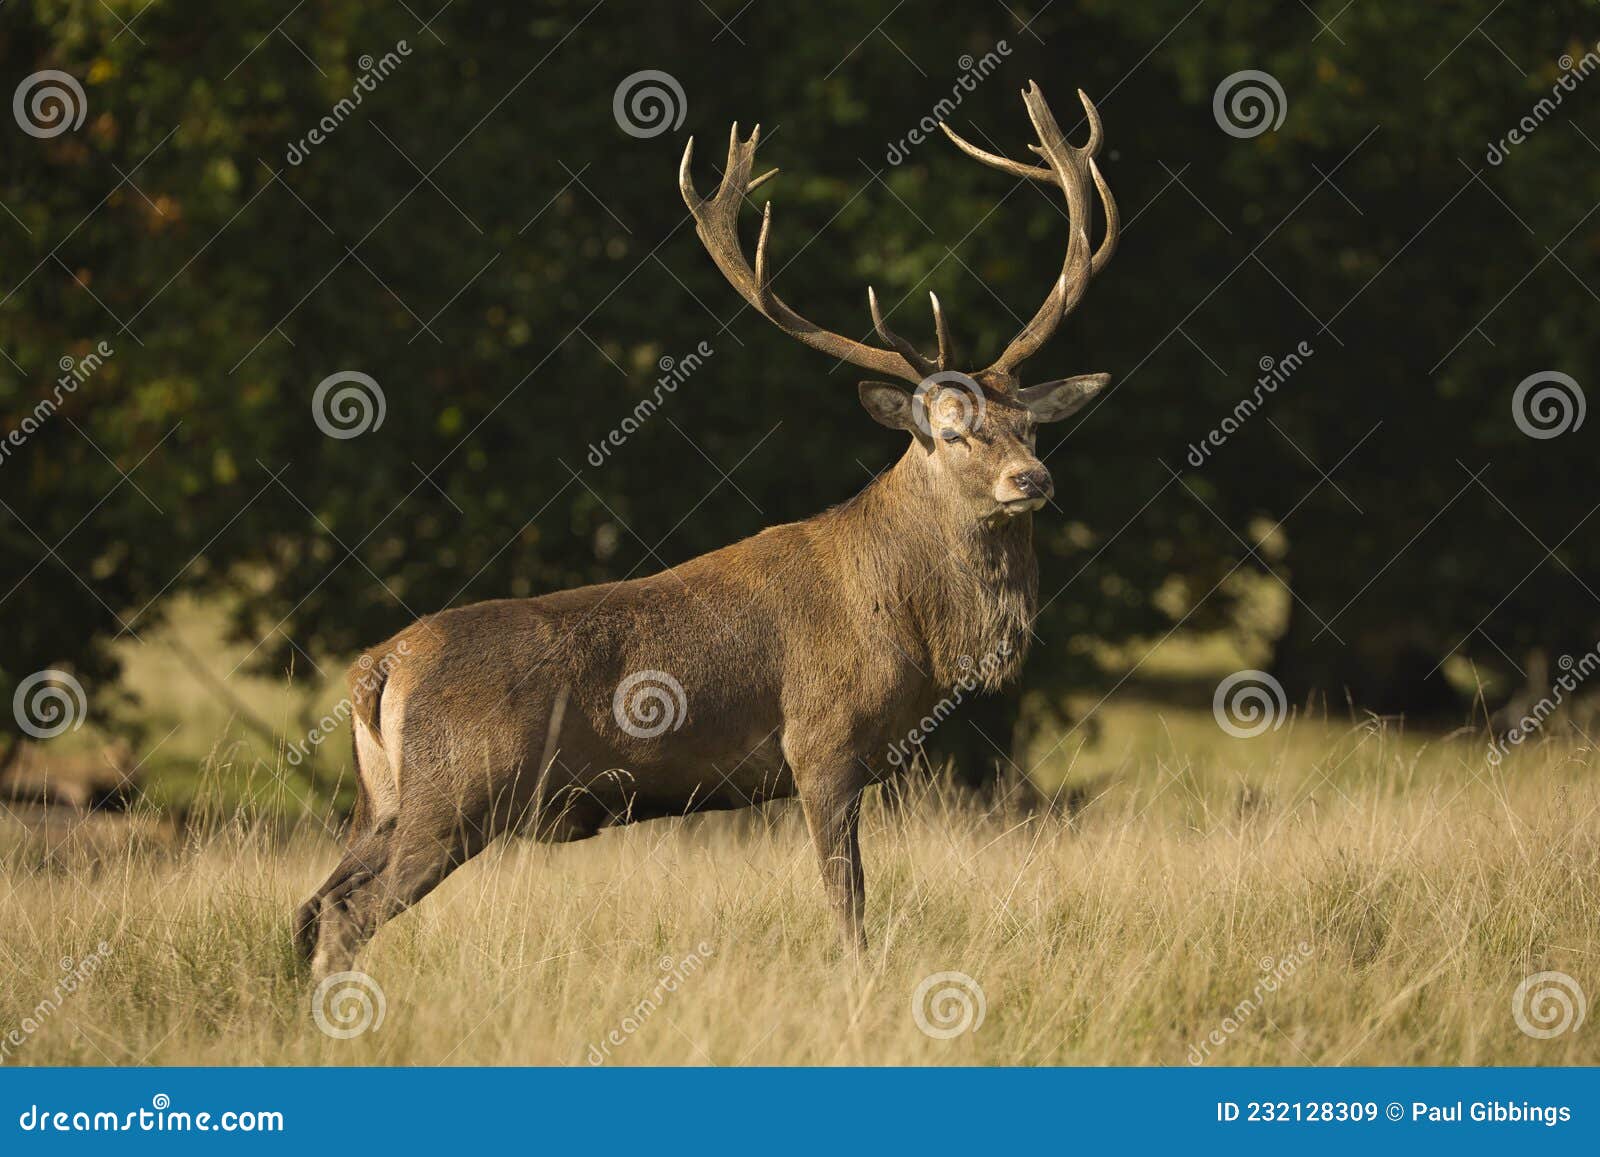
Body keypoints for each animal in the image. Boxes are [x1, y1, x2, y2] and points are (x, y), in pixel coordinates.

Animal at [295, 80, 1119, 977]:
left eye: (1030, 425)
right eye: (948, 428)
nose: (1031, 480)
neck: (913, 629)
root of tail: (378, 668)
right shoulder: (821, 738)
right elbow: (849, 900)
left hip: (382, 801)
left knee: (314, 902)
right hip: (460, 791)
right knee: (347, 911)